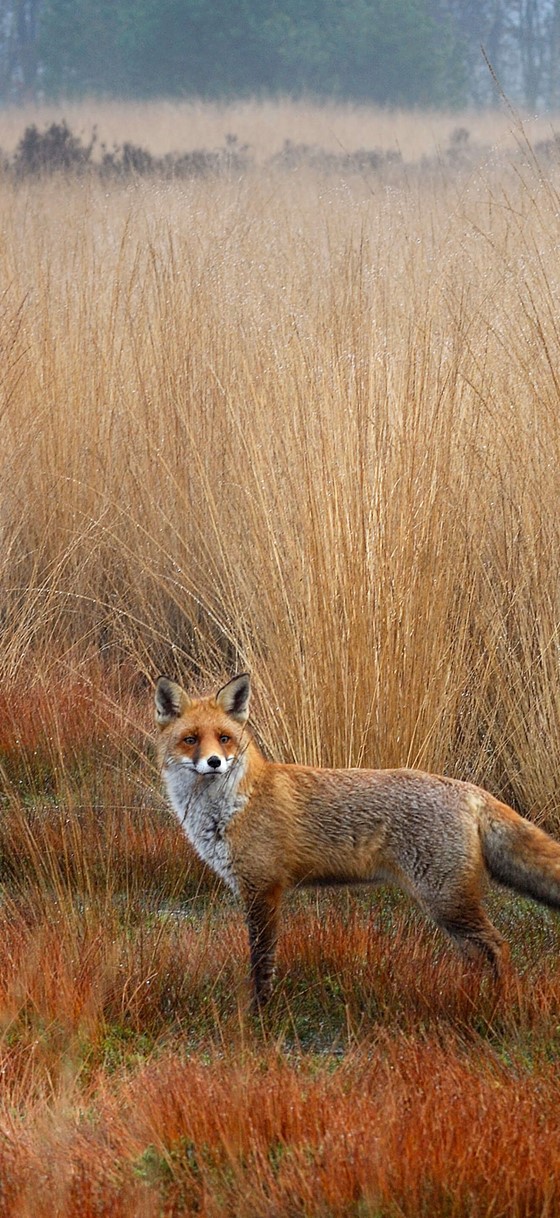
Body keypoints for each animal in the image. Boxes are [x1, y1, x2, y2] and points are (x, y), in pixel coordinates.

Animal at [154, 671, 560, 1009]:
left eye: (224, 739)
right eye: (190, 739)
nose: (214, 762)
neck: (233, 805)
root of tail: (470, 789)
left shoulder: (263, 889)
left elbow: (261, 960)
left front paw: (259, 1011)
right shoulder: (256, 888)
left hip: (446, 901)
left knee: (498, 946)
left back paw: (499, 1003)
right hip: (449, 908)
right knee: (476, 955)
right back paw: (469, 998)